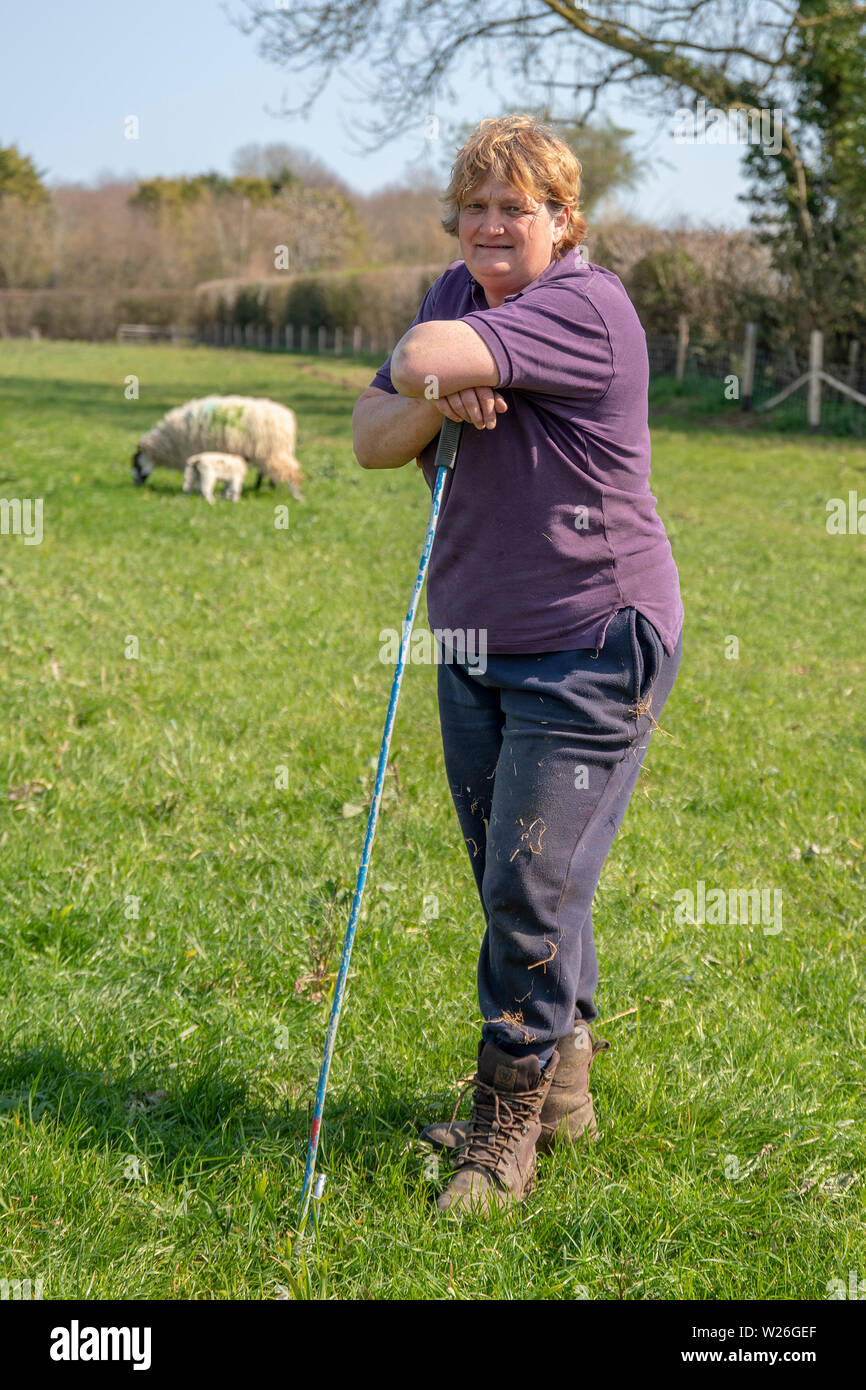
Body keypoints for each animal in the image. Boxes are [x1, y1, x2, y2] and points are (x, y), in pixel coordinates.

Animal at [131, 395, 303, 499]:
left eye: (137, 464)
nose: (136, 485)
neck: (168, 443)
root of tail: (288, 419)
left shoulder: (194, 452)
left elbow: (196, 476)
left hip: (274, 452)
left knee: (291, 473)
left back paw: (297, 496)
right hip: (269, 453)